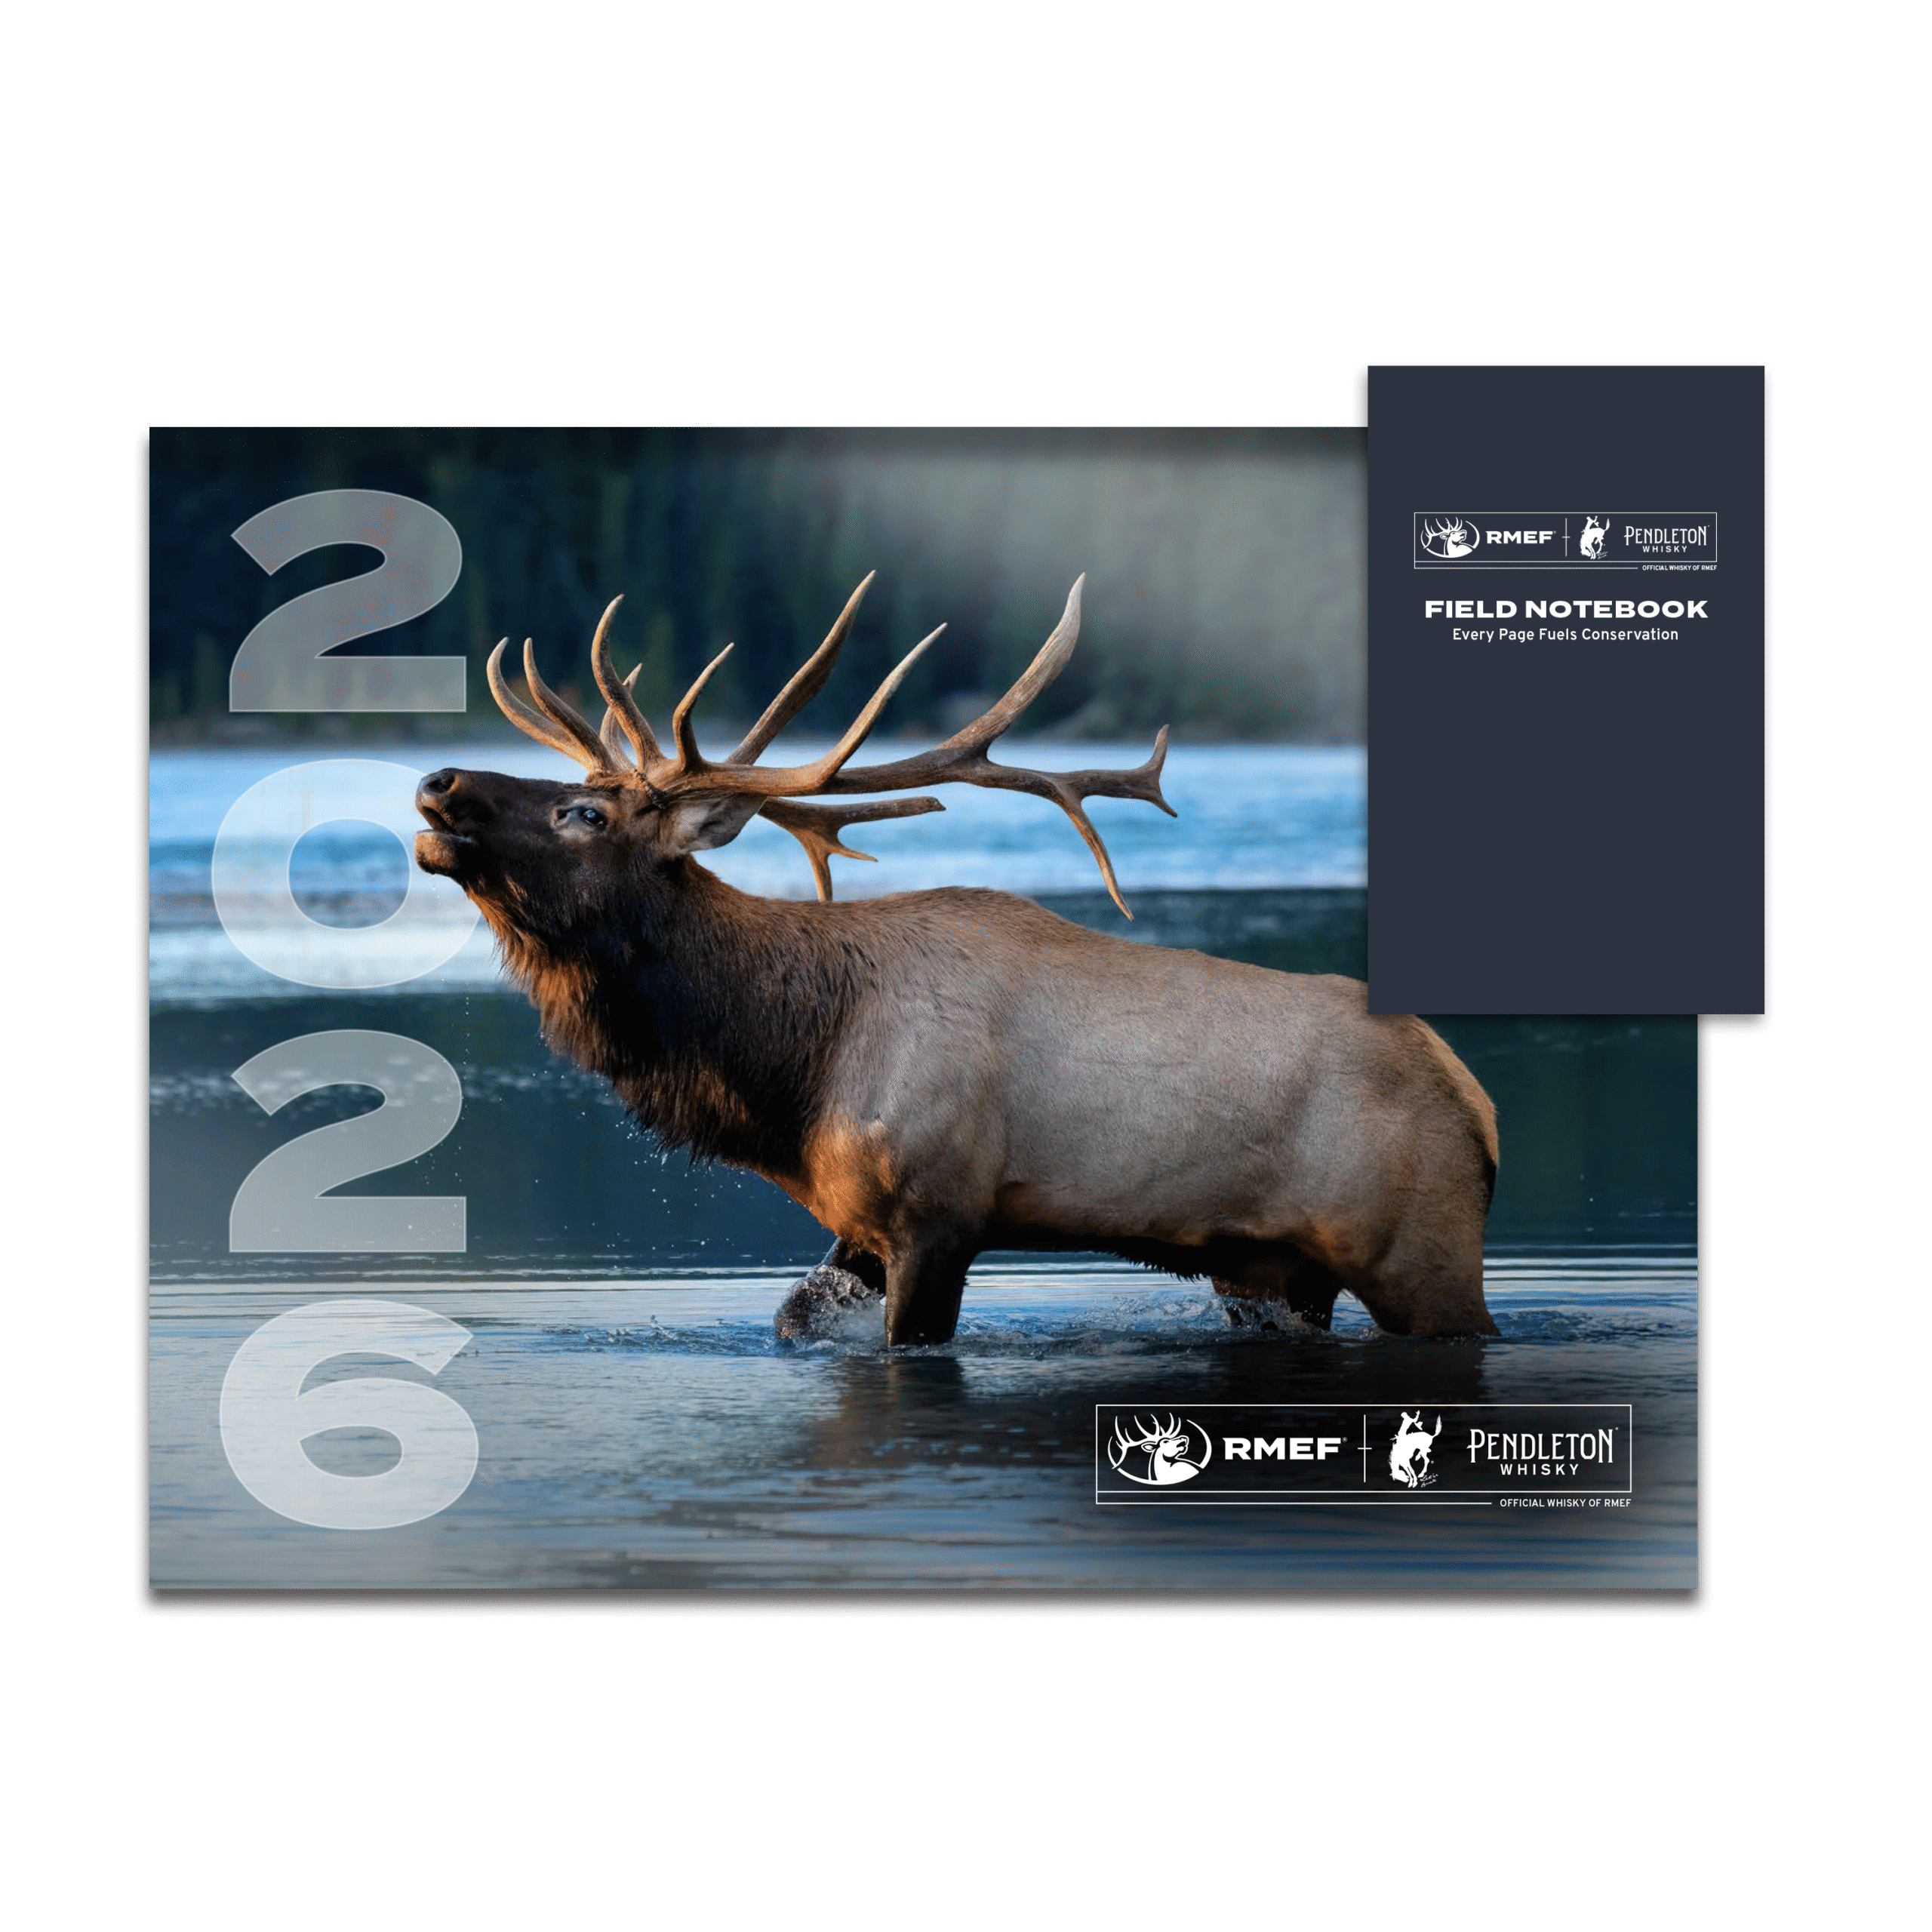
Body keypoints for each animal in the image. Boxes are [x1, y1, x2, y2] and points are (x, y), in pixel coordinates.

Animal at [412, 574, 1500, 1347]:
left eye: (583, 813)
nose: (438, 780)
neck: (788, 1069)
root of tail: (1475, 1100)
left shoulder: (940, 1210)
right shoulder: (855, 1218)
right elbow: (792, 1323)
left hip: (1423, 1250)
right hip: (1274, 1268)